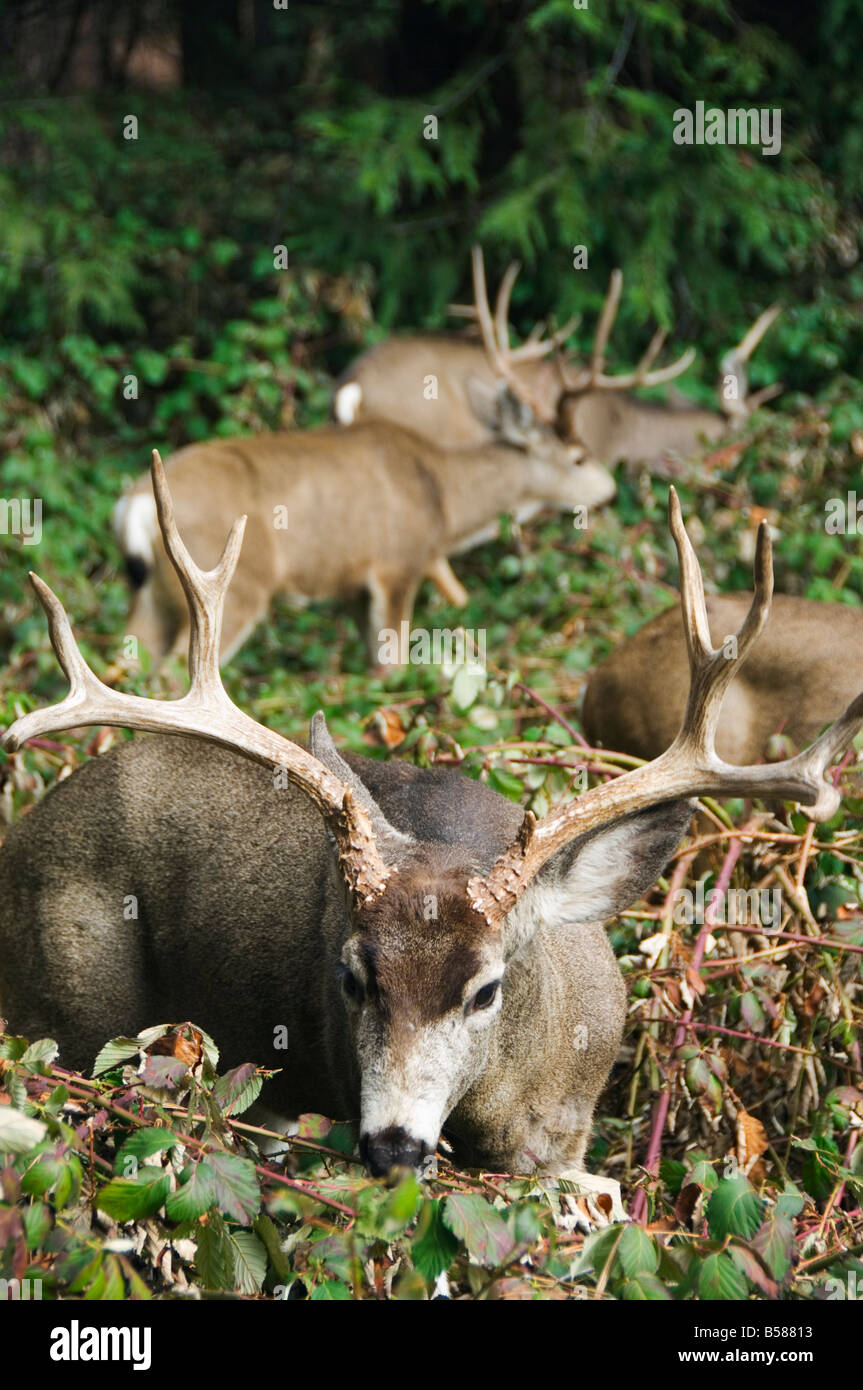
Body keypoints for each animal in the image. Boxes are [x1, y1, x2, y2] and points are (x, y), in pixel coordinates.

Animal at [113, 252, 614, 668]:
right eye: (578, 457)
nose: (610, 489)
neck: (443, 496)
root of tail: (133, 504)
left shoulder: (351, 586)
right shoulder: (397, 562)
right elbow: (392, 664)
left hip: (152, 596)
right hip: (228, 585)